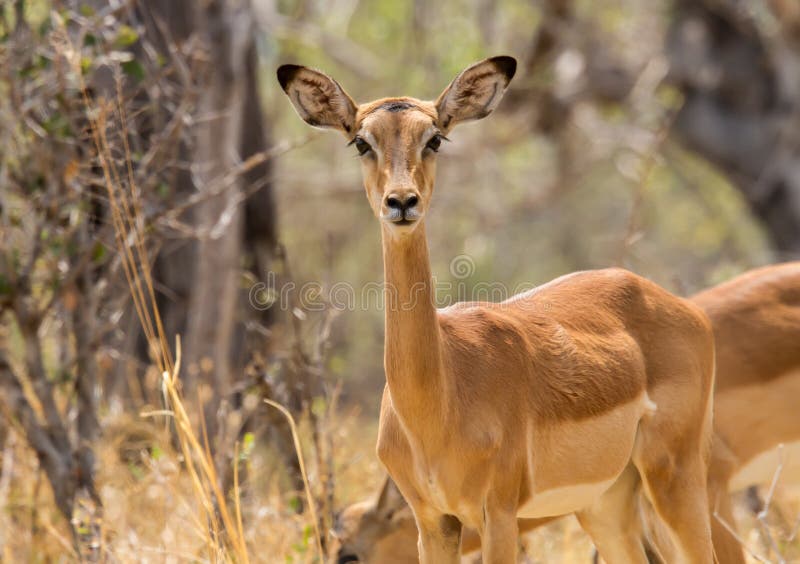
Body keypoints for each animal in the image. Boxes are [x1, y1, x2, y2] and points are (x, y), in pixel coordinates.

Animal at [277, 56, 716, 563]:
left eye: (435, 138)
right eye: (361, 142)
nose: (402, 202)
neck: (439, 400)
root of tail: (685, 310)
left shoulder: (499, 515)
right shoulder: (433, 523)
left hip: (674, 476)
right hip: (606, 504)